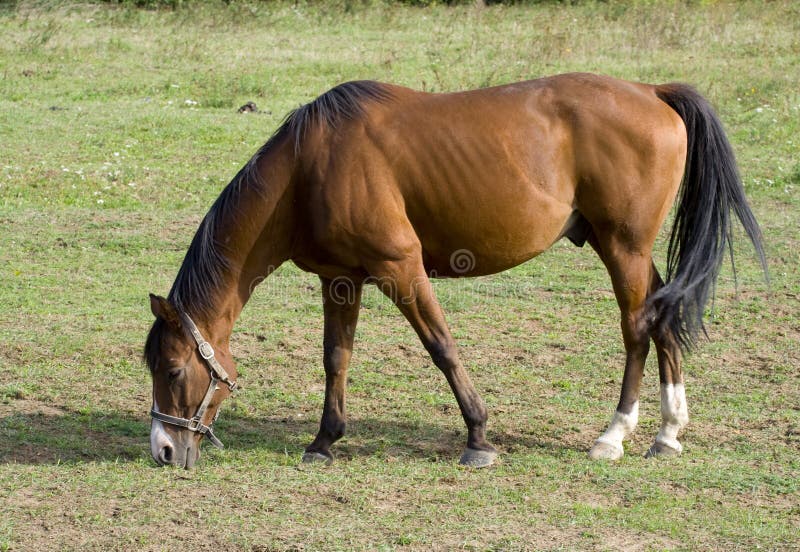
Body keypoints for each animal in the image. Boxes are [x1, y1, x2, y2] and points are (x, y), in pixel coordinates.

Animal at [144, 72, 766, 469]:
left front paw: (479, 437)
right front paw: (324, 441)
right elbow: (336, 359)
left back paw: (614, 435)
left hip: (623, 247)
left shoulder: (400, 267)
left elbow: (441, 347)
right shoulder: (341, 279)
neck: (309, 167)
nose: (164, 450)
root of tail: (651, 92)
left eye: (173, 370)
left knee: (637, 328)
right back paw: (667, 432)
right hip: (625, 248)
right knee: (663, 318)